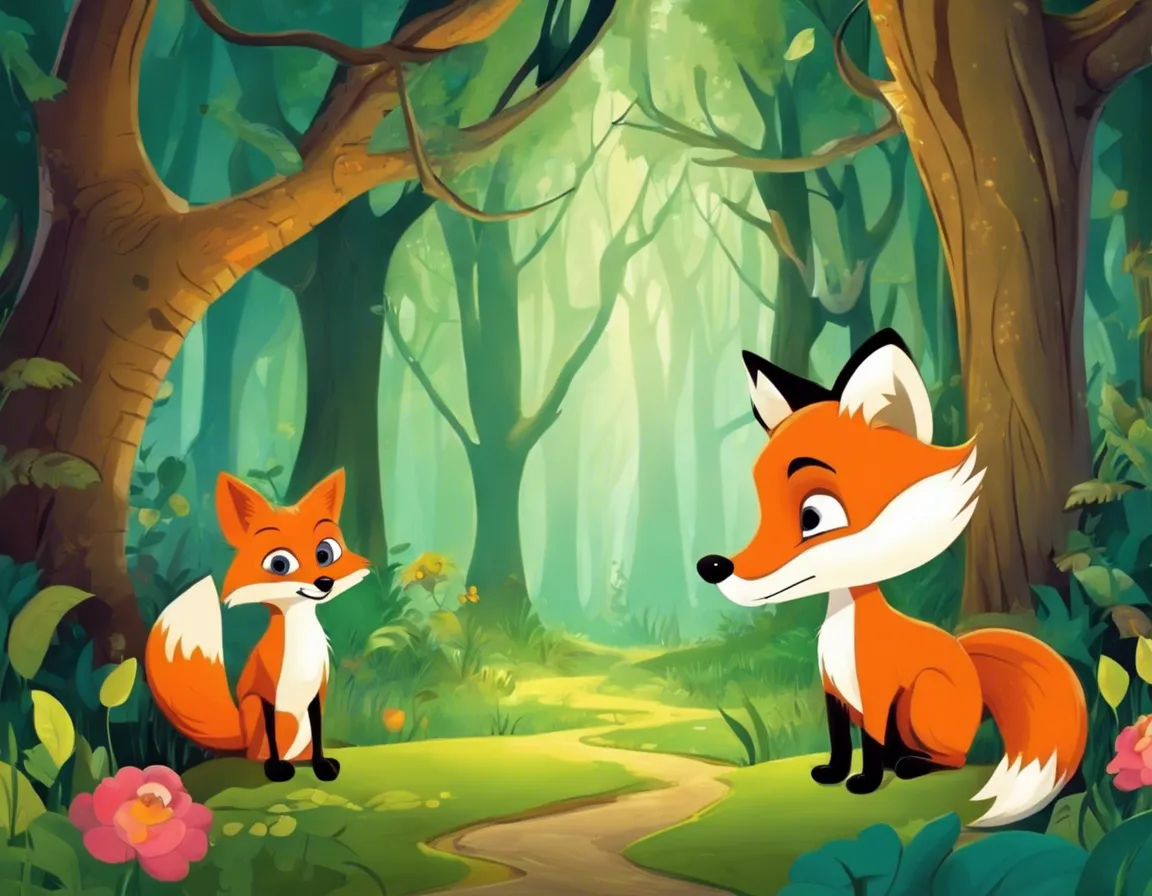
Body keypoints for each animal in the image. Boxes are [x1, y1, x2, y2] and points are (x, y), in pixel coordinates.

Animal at [145, 469, 370, 783]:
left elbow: (318, 733)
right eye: (279, 564)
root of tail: (241, 732)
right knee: (261, 750)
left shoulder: (317, 694)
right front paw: (276, 769)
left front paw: (321, 764)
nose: (324, 583)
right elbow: (274, 737)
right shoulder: (266, 693)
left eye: (325, 554)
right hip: (266, 715)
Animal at [697, 329, 1087, 828]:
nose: (712, 567)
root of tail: (969, 663)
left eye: (813, 516)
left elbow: (867, 743)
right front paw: (833, 774)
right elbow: (840, 742)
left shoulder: (878, 693)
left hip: (921, 700)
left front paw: (863, 782)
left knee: (950, 759)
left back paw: (908, 766)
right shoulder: (833, 691)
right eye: (761, 507)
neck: (845, 626)